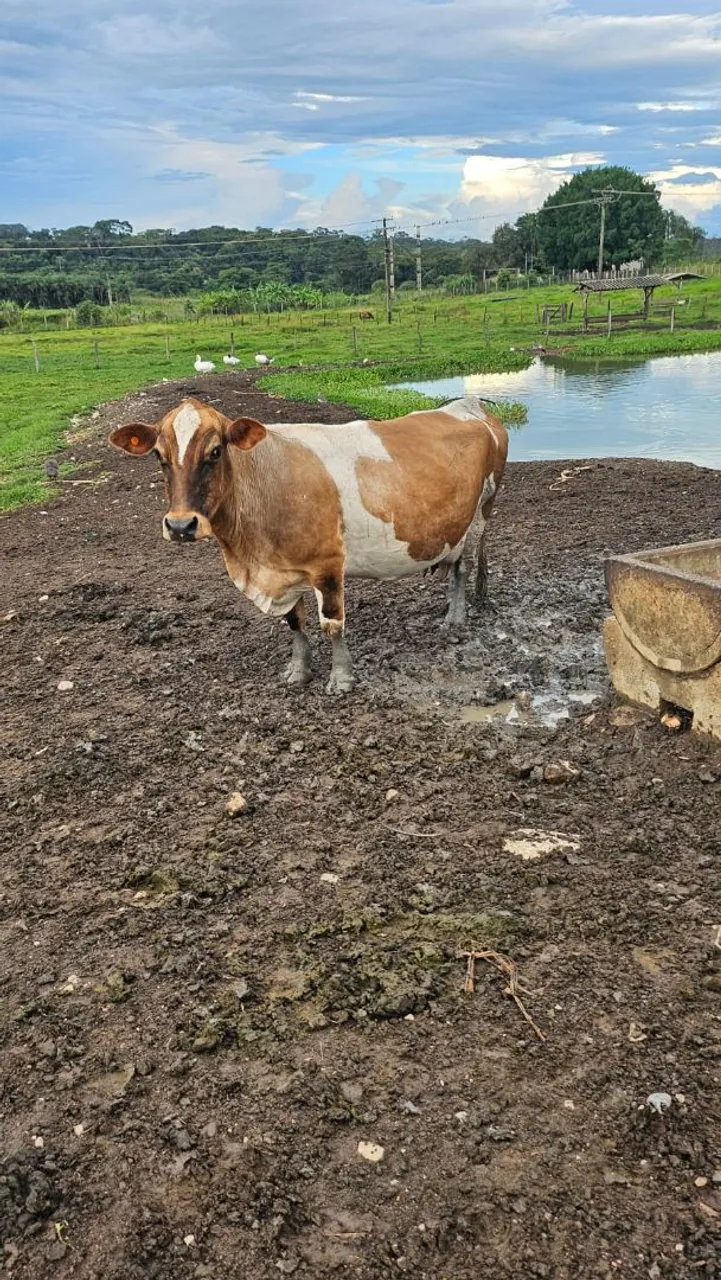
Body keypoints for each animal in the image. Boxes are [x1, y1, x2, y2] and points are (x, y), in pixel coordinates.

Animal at [108, 396, 508, 693]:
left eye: (216, 451)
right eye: (158, 456)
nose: (180, 525)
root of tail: (471, 405)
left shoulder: (327, 563)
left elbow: (332, 623)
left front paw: (341, 677)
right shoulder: (285, 571)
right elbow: (294, 622)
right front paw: (298, 670)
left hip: (481, 513)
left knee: (463, 568)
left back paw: (455, 617)